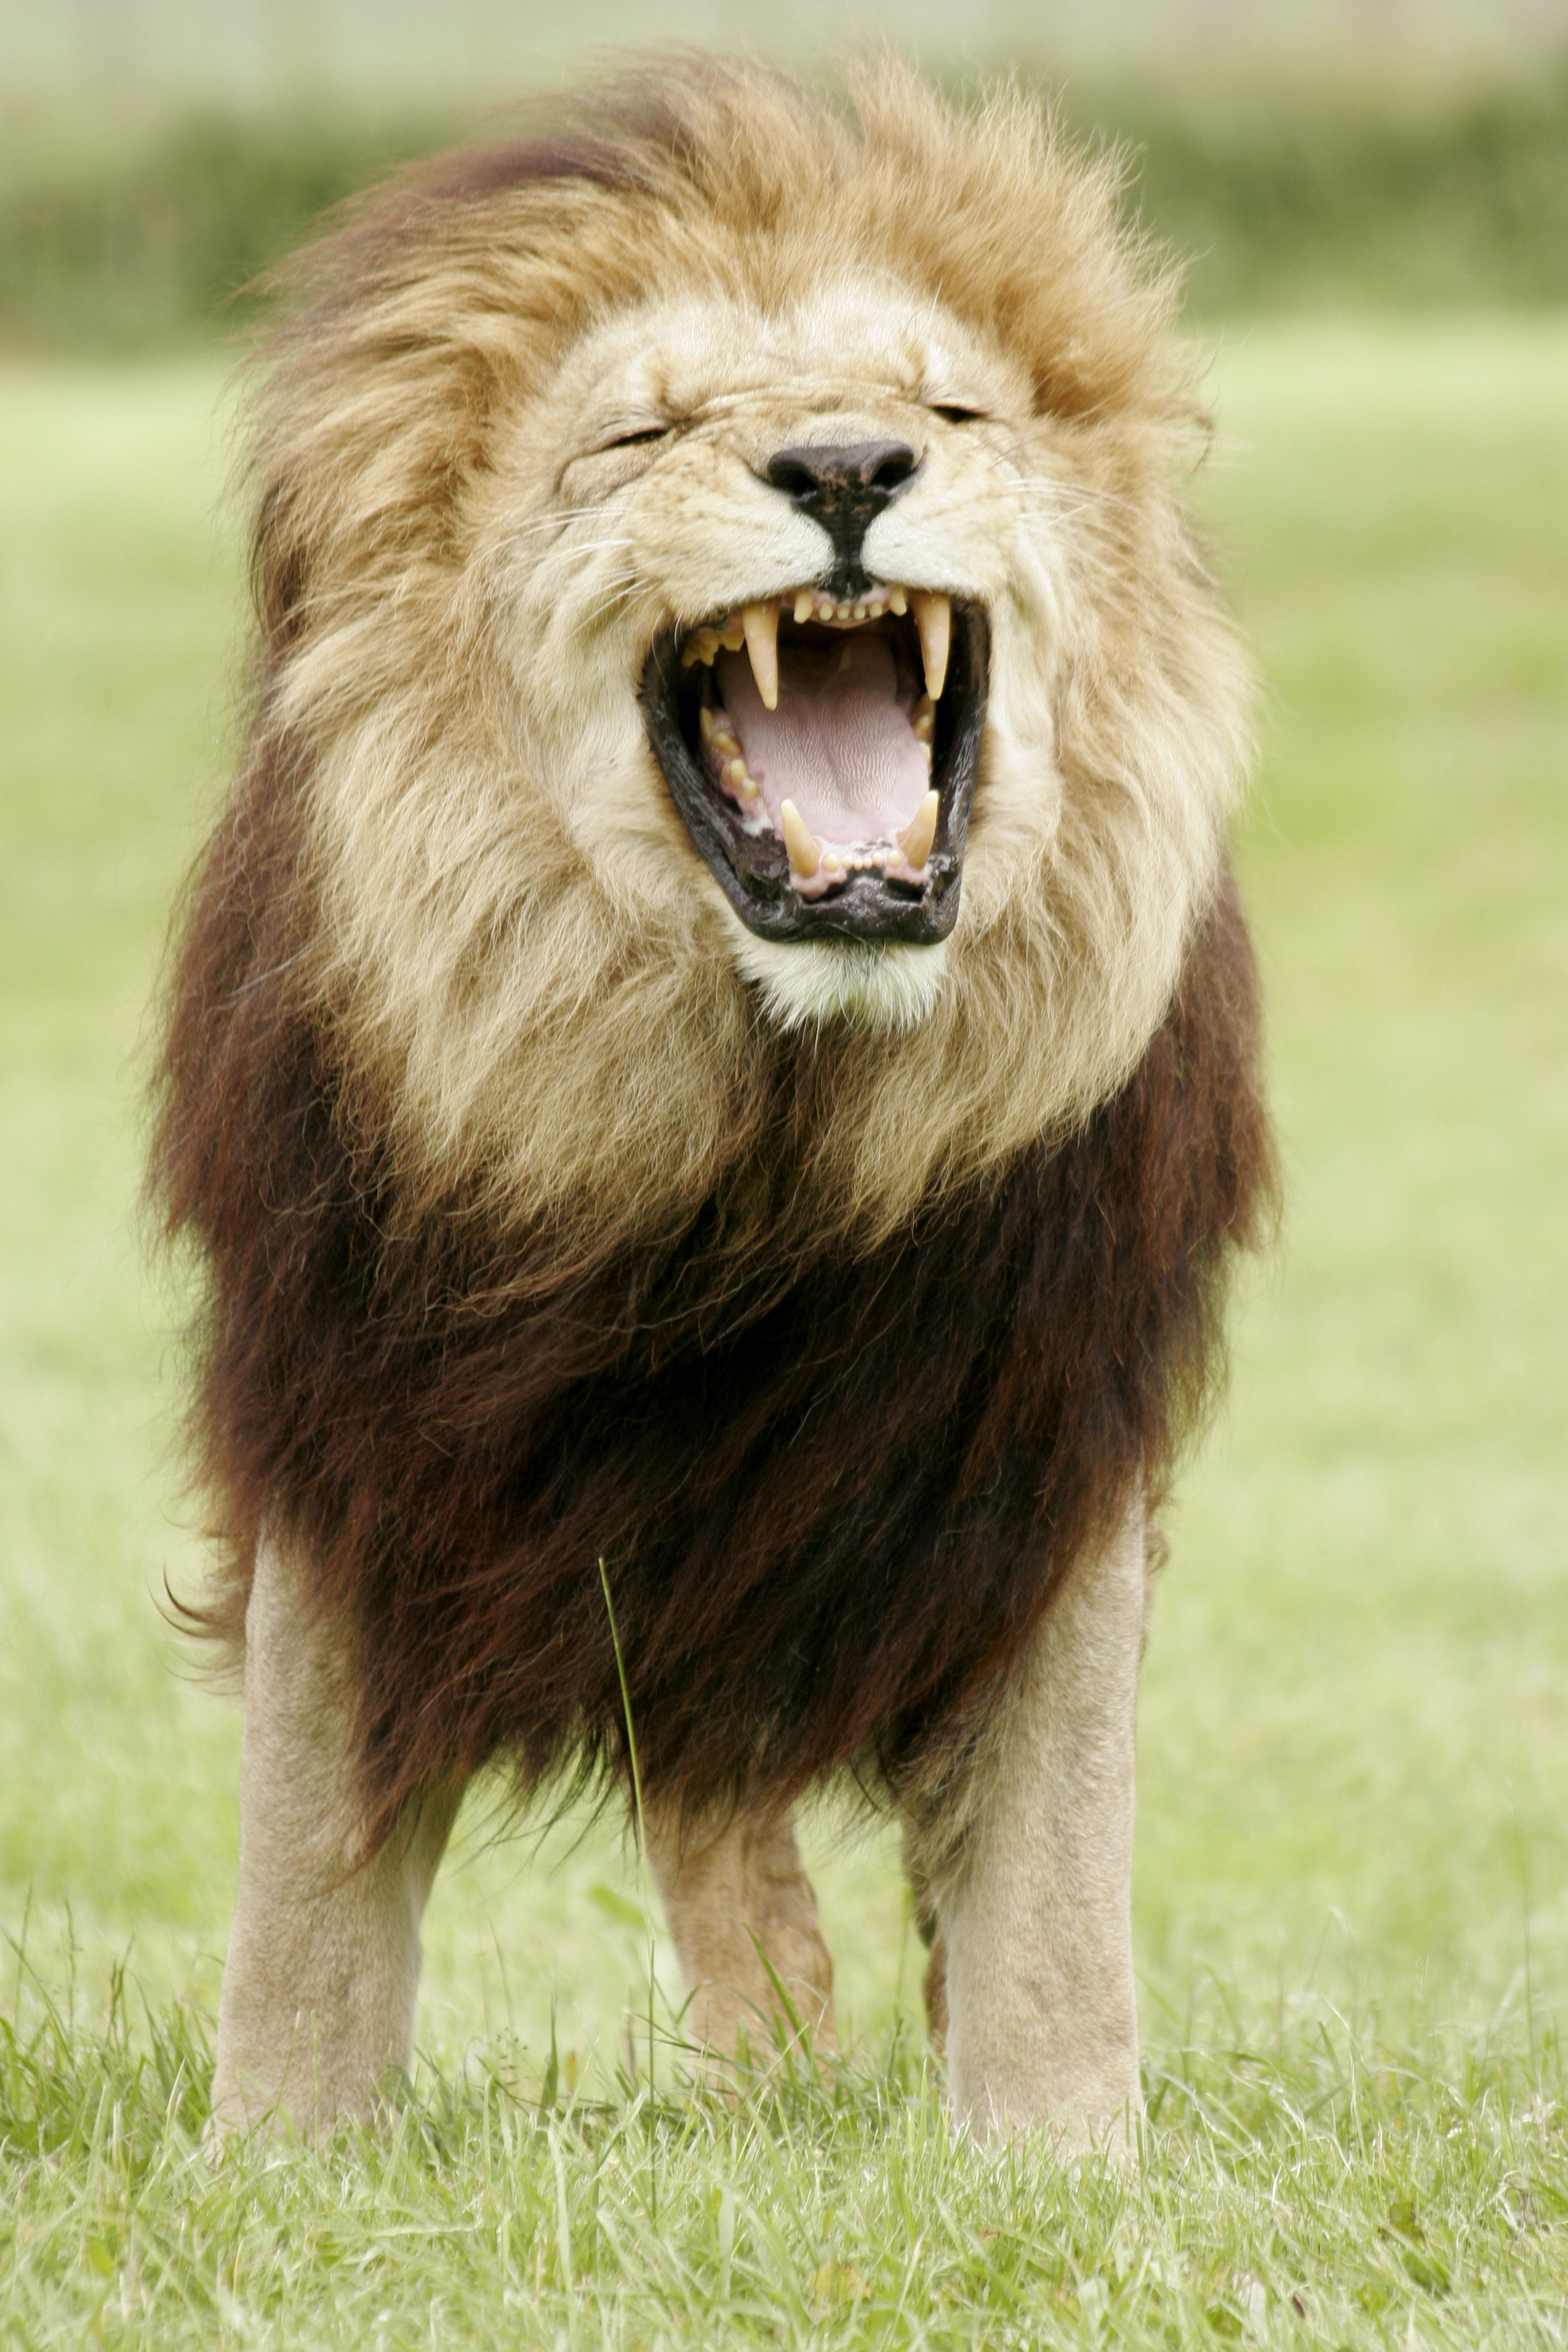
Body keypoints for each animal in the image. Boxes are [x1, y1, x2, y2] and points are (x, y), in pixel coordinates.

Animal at [152, 54, 1275, 2150]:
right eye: (641, 431)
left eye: (949, 412)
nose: (843, 471)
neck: (762, 1130)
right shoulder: (346, 1409)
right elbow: (307, 1885)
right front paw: (278, 2152)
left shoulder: (1046, 1417)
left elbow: (1053, 1878)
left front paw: (1057, 2155)